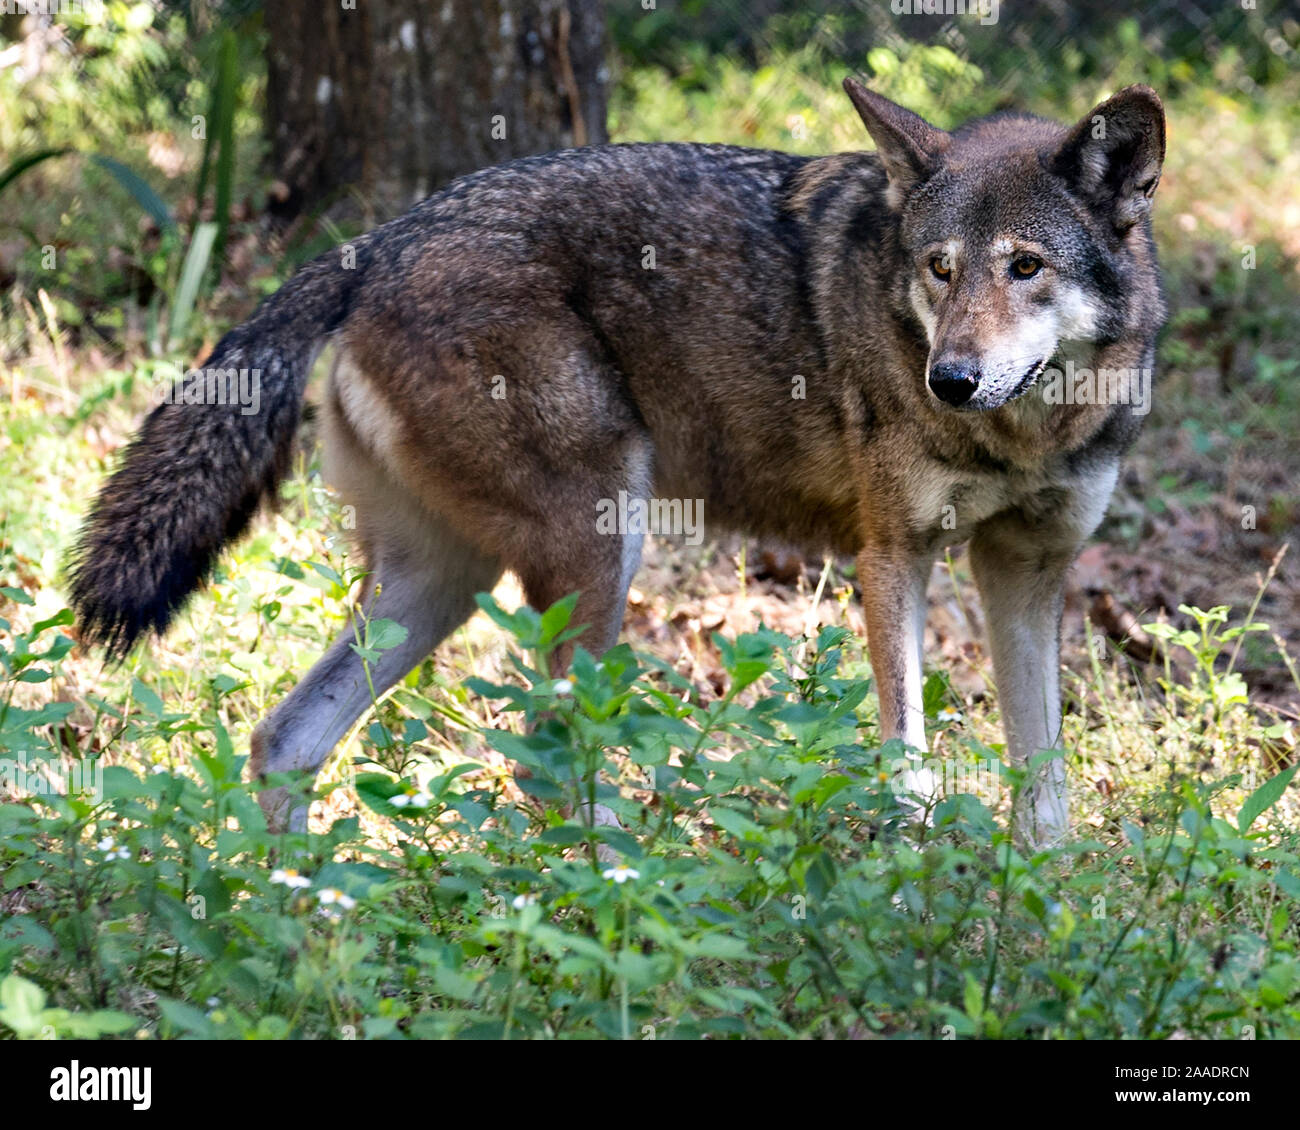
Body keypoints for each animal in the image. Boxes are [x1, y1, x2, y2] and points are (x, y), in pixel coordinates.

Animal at [69, 79, 1166, 848]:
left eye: (1025, 266)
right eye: (939, 269)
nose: (950, 378)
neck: (1028, 434)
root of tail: (374, 242)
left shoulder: (1026, 571)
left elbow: (1045, 785)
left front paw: (1042, 913)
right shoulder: (892, 556)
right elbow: (910, 771)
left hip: (443, 586)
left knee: (285, 741)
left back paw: (306, 919)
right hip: (599, 549)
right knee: (546, 775)